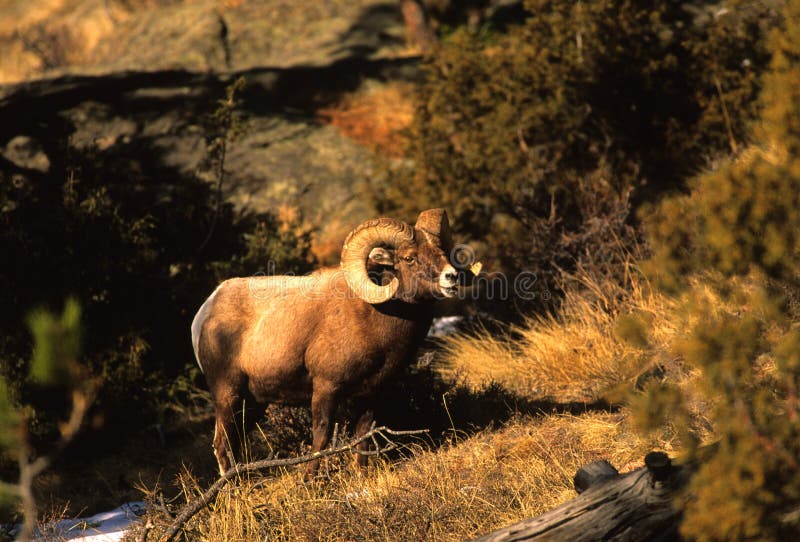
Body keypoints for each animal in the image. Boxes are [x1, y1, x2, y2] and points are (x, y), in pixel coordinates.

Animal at [191, 209, 465, 476]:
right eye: (409, 258)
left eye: (442, 251)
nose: (451, 277)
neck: (375, 317)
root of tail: (205, 312)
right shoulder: (326, 388)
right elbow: (321, 438)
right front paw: (308, 481)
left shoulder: (370, 395)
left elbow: (363, 437)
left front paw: (361, 476)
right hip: (228, 394)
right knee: (223, 445)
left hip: (252, 403)